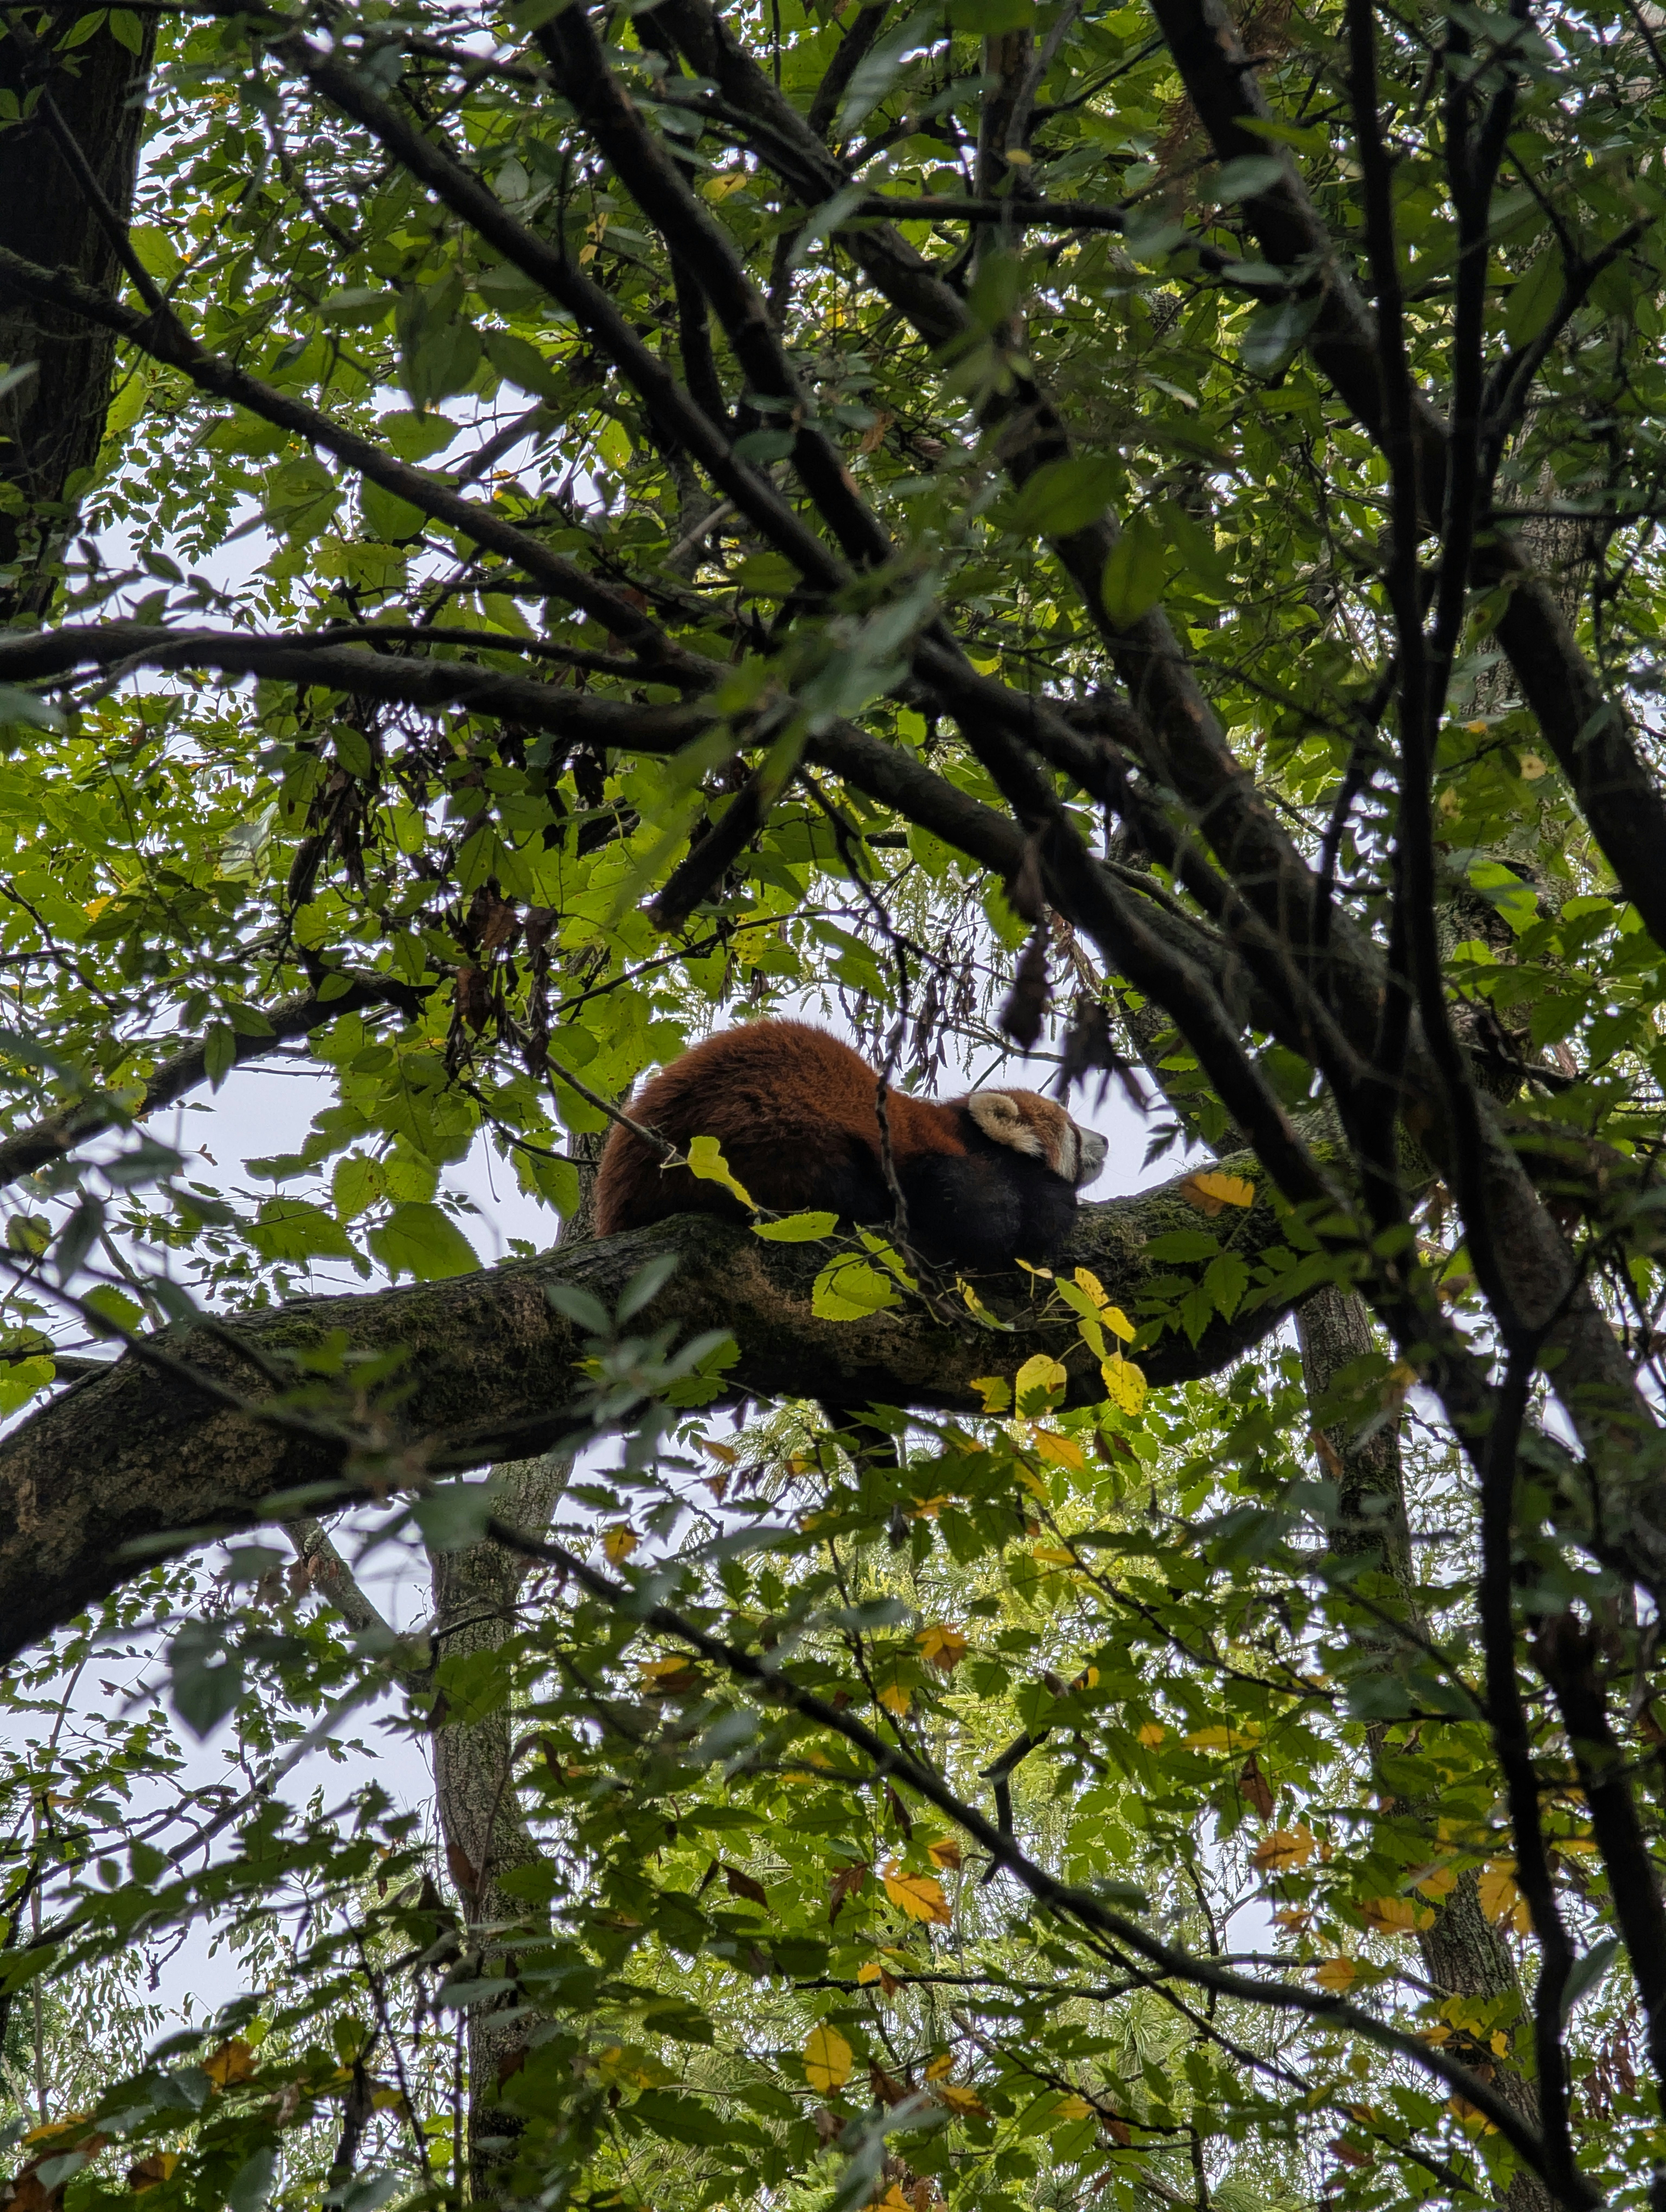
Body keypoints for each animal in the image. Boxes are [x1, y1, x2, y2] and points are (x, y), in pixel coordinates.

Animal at [593, 1019, 1108, 1269]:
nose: (1104, 1141)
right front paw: (1050, 1204)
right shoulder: (934, 1152)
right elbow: (984, 1215)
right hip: (752, 1128)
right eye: (1072, 1130)